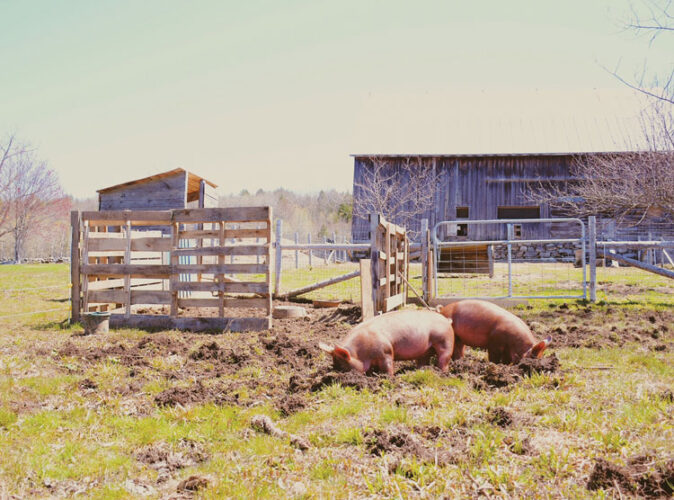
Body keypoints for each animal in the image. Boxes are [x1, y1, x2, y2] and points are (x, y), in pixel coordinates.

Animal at [319, 309, 454, 376]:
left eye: (342, 367)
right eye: (334, 365)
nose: (330, 375)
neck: (360, 352)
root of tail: (447, 320)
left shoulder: (386, 351)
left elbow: (387, 366)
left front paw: (389, 377)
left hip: (445, 340)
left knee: (444, 358)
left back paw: (442, 373)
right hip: (425, 349)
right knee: (423, 360)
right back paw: (420, 370)